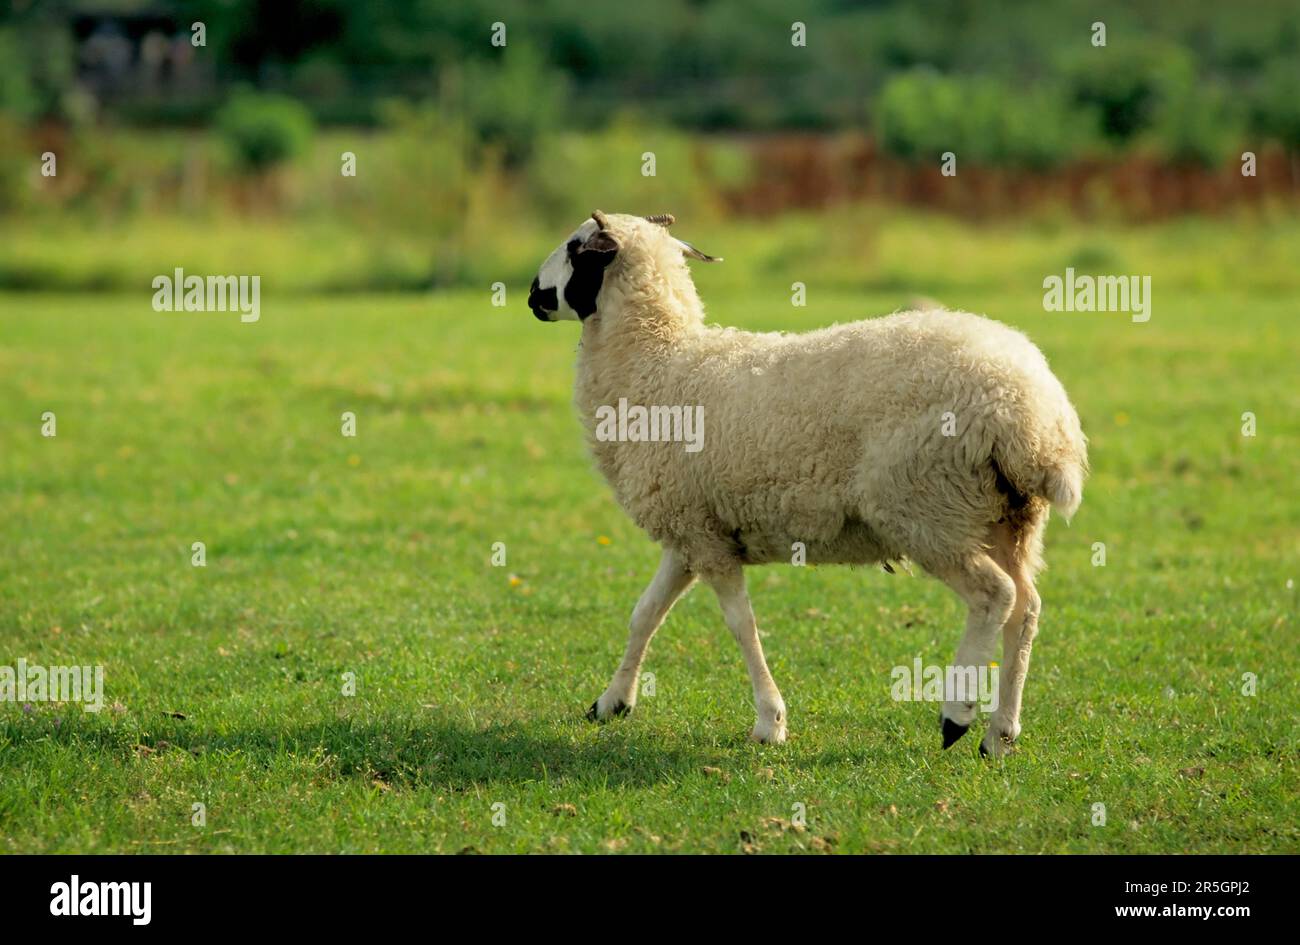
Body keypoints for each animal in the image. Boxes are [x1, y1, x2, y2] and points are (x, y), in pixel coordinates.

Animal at [527, 211, 1087, 756]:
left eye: (576, 249)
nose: (532, 294)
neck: (656, 363)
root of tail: (1034, 416)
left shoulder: (704, 540)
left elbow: (741, 625)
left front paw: (769, 722)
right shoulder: (692, 532)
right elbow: (645, 613)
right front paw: (612, 702)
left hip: (928, 508)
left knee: (994, 596)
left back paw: (958, 715)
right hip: (1007, 517)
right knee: (1026, 606)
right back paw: (1001, 733)